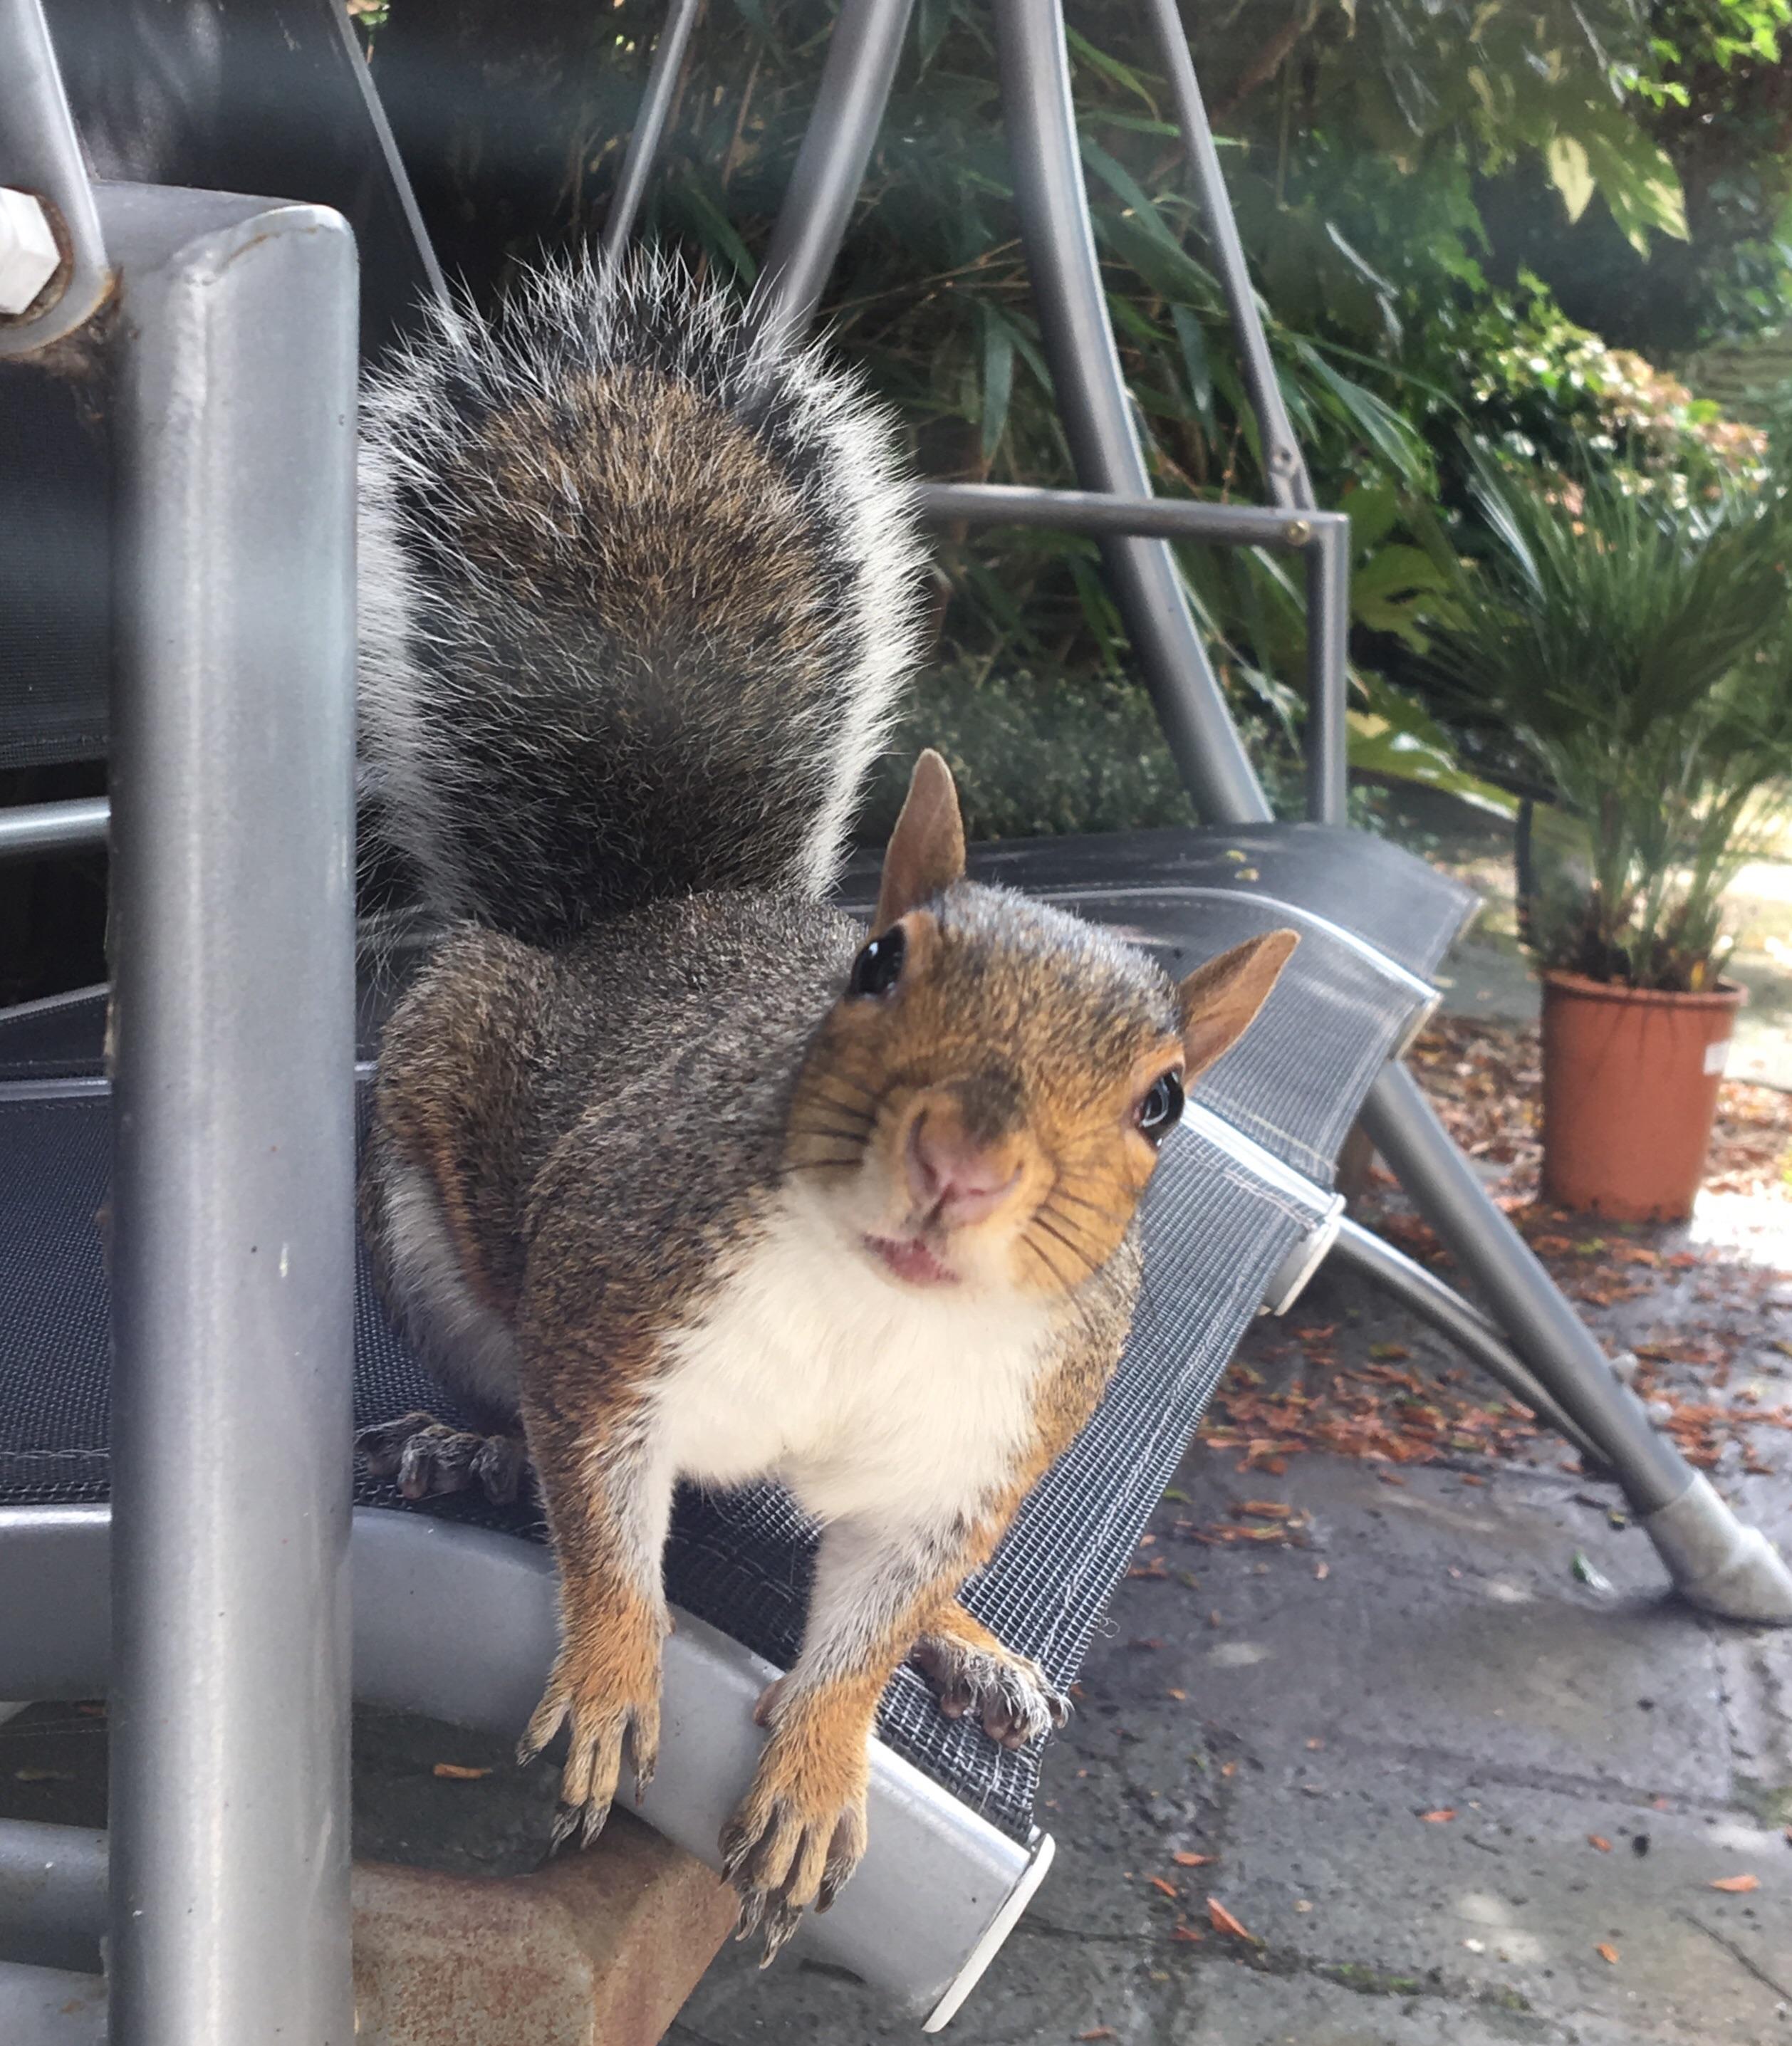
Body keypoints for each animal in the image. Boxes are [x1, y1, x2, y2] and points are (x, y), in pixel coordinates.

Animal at [353, 255, 1297, 1962]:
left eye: (1166, 1103)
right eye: (878, 962)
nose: (961, 1165)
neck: (876, 1303)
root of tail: (649, 921)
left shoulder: (964, 1457)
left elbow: (863, 1630)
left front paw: (816, 1771)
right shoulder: (621, 1310)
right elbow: (607, 1530)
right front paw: (611, 1686)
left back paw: (972, 1645)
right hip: (430, 1219)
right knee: (502, 1398)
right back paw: (465, 1455)